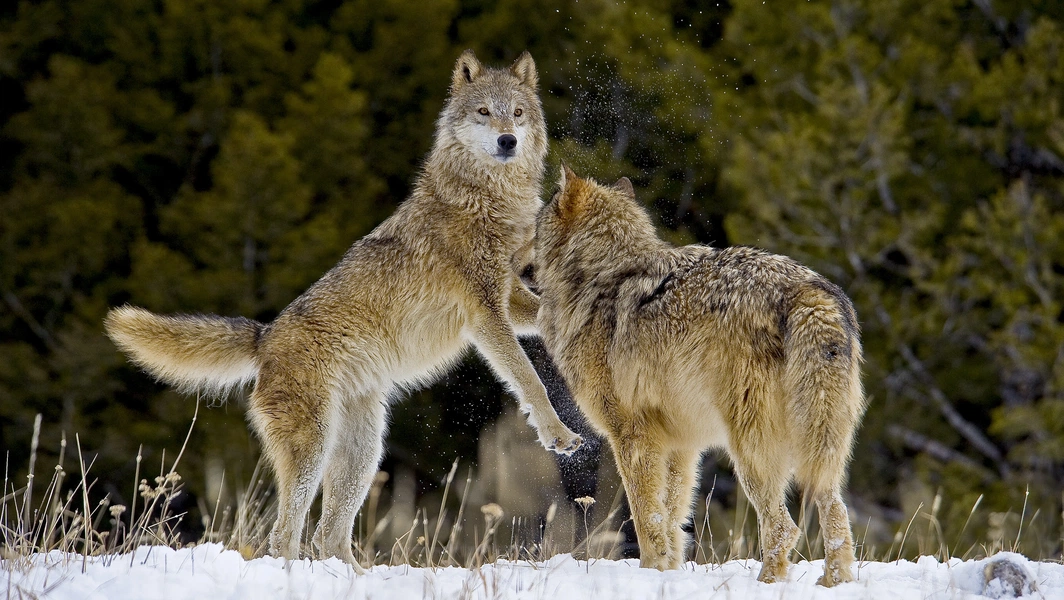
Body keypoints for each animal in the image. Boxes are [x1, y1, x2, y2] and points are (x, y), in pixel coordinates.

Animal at [104, 50, 583, 567]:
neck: (487, 201)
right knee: (286, 536)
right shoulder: (485, 313)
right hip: (314, 451)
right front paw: (558, 435)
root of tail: (264, 336)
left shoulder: (510, 297)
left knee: (328, 535)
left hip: (362, 453)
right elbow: (530, 380)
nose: (507, 140)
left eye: (517, 113)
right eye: (483, 112)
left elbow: (545, 315)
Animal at [523, 167, 866, 586]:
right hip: (820, 454)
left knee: (784, 527)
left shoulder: (632, 438)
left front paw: (649, 571)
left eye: (534, 230)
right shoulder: (681, 448)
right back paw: (834, 583)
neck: (601, 279)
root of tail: (807, 291)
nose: (517, 267)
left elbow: (646, 518)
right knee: (836, 517)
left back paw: (767, 584)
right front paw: (666, 573)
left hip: (750, 454)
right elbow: (672, 521)